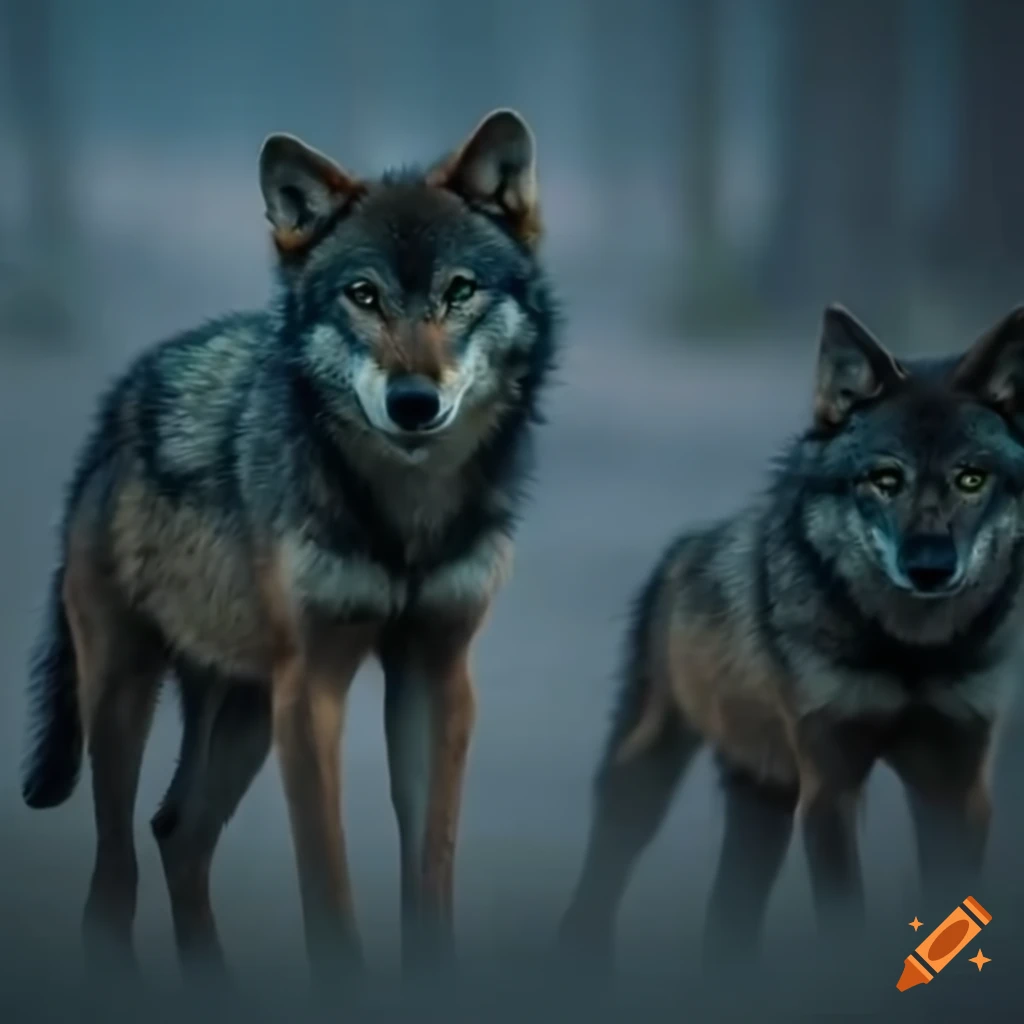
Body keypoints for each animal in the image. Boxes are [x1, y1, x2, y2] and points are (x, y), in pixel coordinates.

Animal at [21, 109, 559, 983]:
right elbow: (328, 892)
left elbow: (429, 877)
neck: (403, 516)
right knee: (113, 876)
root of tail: (116, 406)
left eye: (459, 291)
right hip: (128, 694)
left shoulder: (435, 674)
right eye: (363, 295)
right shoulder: (312, 688)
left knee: (177, 833)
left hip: (242, 707)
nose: (414, 402)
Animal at [559, 305, 1024, 966]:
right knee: (601, 883)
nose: (931, 567)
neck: (908, 652)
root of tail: (683, 548)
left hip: (764, 799)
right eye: (885, 479)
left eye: (971, 479)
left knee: (726, 919)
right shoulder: (830, 788)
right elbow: (844, 918)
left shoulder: (956, 786)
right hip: (645, 773)